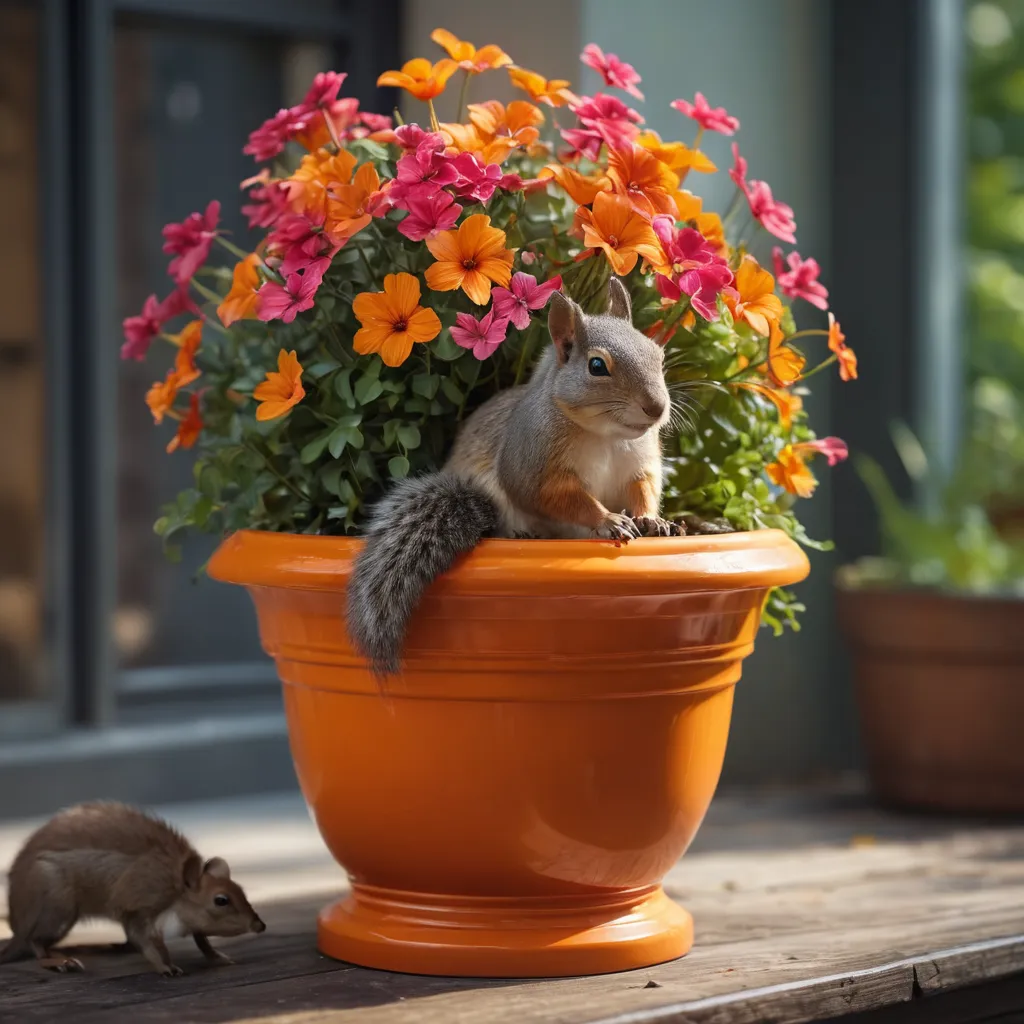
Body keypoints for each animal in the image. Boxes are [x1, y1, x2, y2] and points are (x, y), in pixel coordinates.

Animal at [0, 801, 265, 976]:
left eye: (241, 891)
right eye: (221, 900)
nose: (259, 926)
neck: (176, 888)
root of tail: (18, 926)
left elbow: (201, 939)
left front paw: (217, 956)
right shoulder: (139, 904)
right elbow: (147, 941)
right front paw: (165, 966)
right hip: (57, 908)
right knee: (36, 943)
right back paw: (59, 961)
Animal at [347, 276, 682, 677]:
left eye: (658, 356)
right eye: (597, 366)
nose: (656, 408)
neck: (605, 435)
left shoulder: (638, 464)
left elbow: (643, 490)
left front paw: (652, 520)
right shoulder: (532, 464)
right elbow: (557, 498)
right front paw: (608, 520)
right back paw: (528, 534)